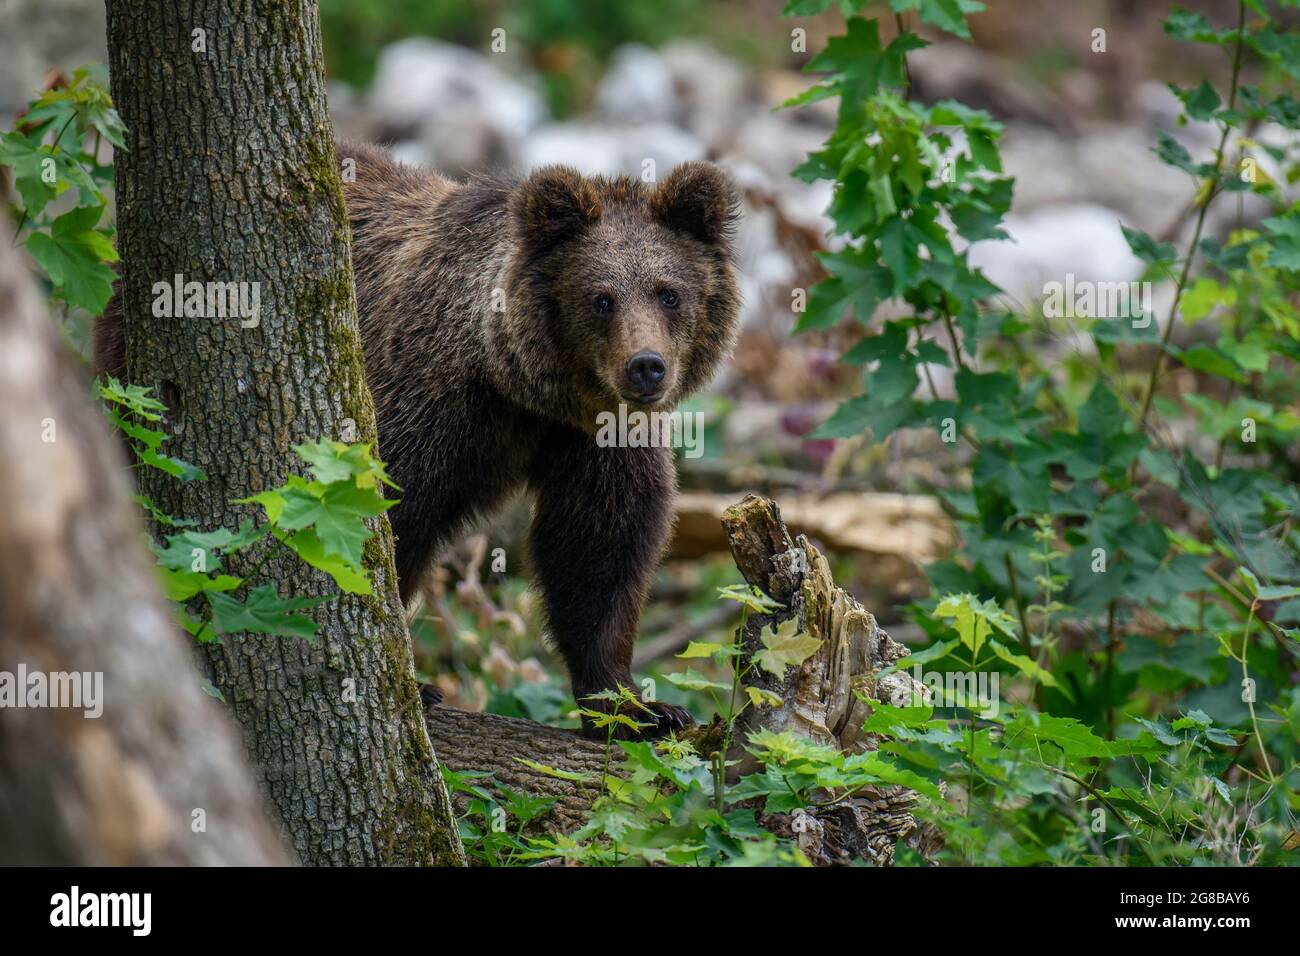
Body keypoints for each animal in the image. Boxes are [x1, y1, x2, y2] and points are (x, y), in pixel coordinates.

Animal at [94, 140, 742, 739]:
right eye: (601, 298)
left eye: (669, 292)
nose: (646, 366)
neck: (519, 390)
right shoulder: (423, 407)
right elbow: (382, 526)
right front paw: (414, 685)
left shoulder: (597, 438)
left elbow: (599, 548)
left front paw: (638, 706)